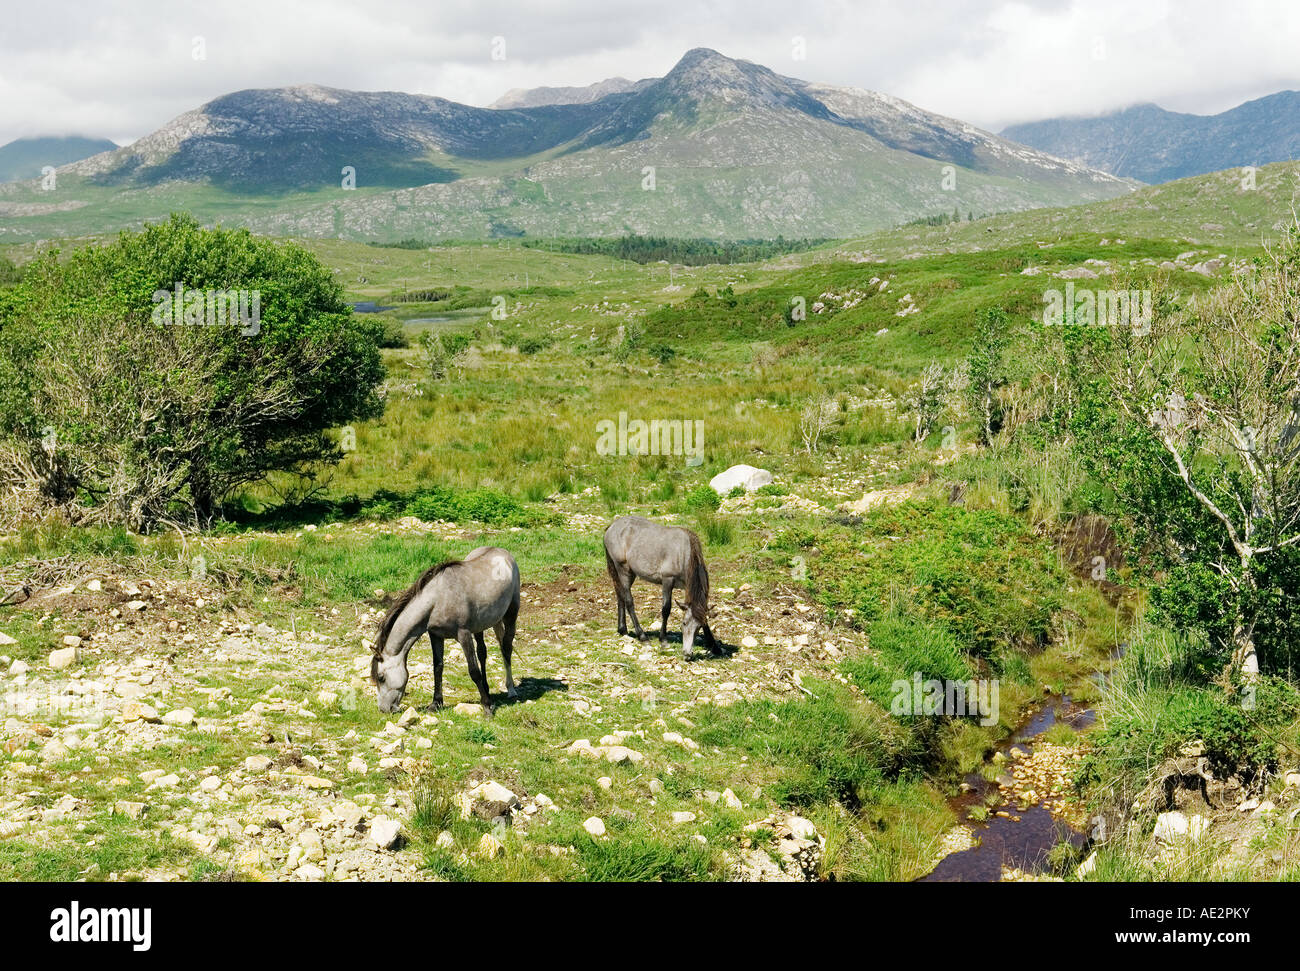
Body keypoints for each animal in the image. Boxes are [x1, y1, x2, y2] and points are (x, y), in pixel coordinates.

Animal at [370, 546, 520, 716]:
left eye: (381, 677)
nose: (384, 709)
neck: (438, 600)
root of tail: (502, 552)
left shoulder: (464, 635)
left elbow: (473, 671)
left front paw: (487, 706)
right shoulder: (436, 636)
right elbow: (438, 667)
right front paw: (436, 703)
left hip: (511, 614)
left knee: (506, 648)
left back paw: (511, 690)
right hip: (482, 626)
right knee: (482, 652)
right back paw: (487, 690)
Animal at [603, 514, 719, 660]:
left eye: (698, 627)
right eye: (684, 623)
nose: (687, 654)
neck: (684, 552)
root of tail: (612, 526)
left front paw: (713, 644)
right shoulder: (667, 580)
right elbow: (666, 609)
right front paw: (663, 639)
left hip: (629, 573)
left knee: (620, 596)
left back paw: (622, 629)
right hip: (622, 569)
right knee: (628, 601)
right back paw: (642, 636)